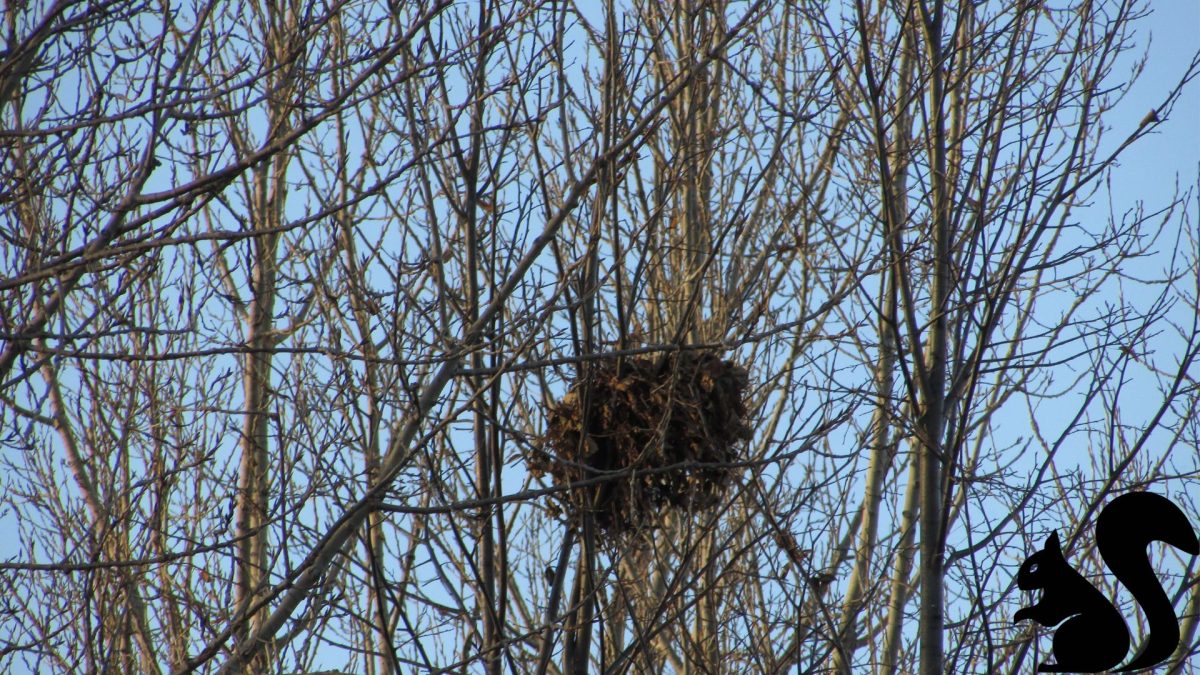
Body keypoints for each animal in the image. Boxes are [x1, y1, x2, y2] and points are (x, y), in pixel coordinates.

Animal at [1014, 491, 1199, 672]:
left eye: (1033, 567)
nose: (1020, 583)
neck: (1056, 577)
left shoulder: (1060, 598)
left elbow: (1048, 617)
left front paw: (1020, 615)